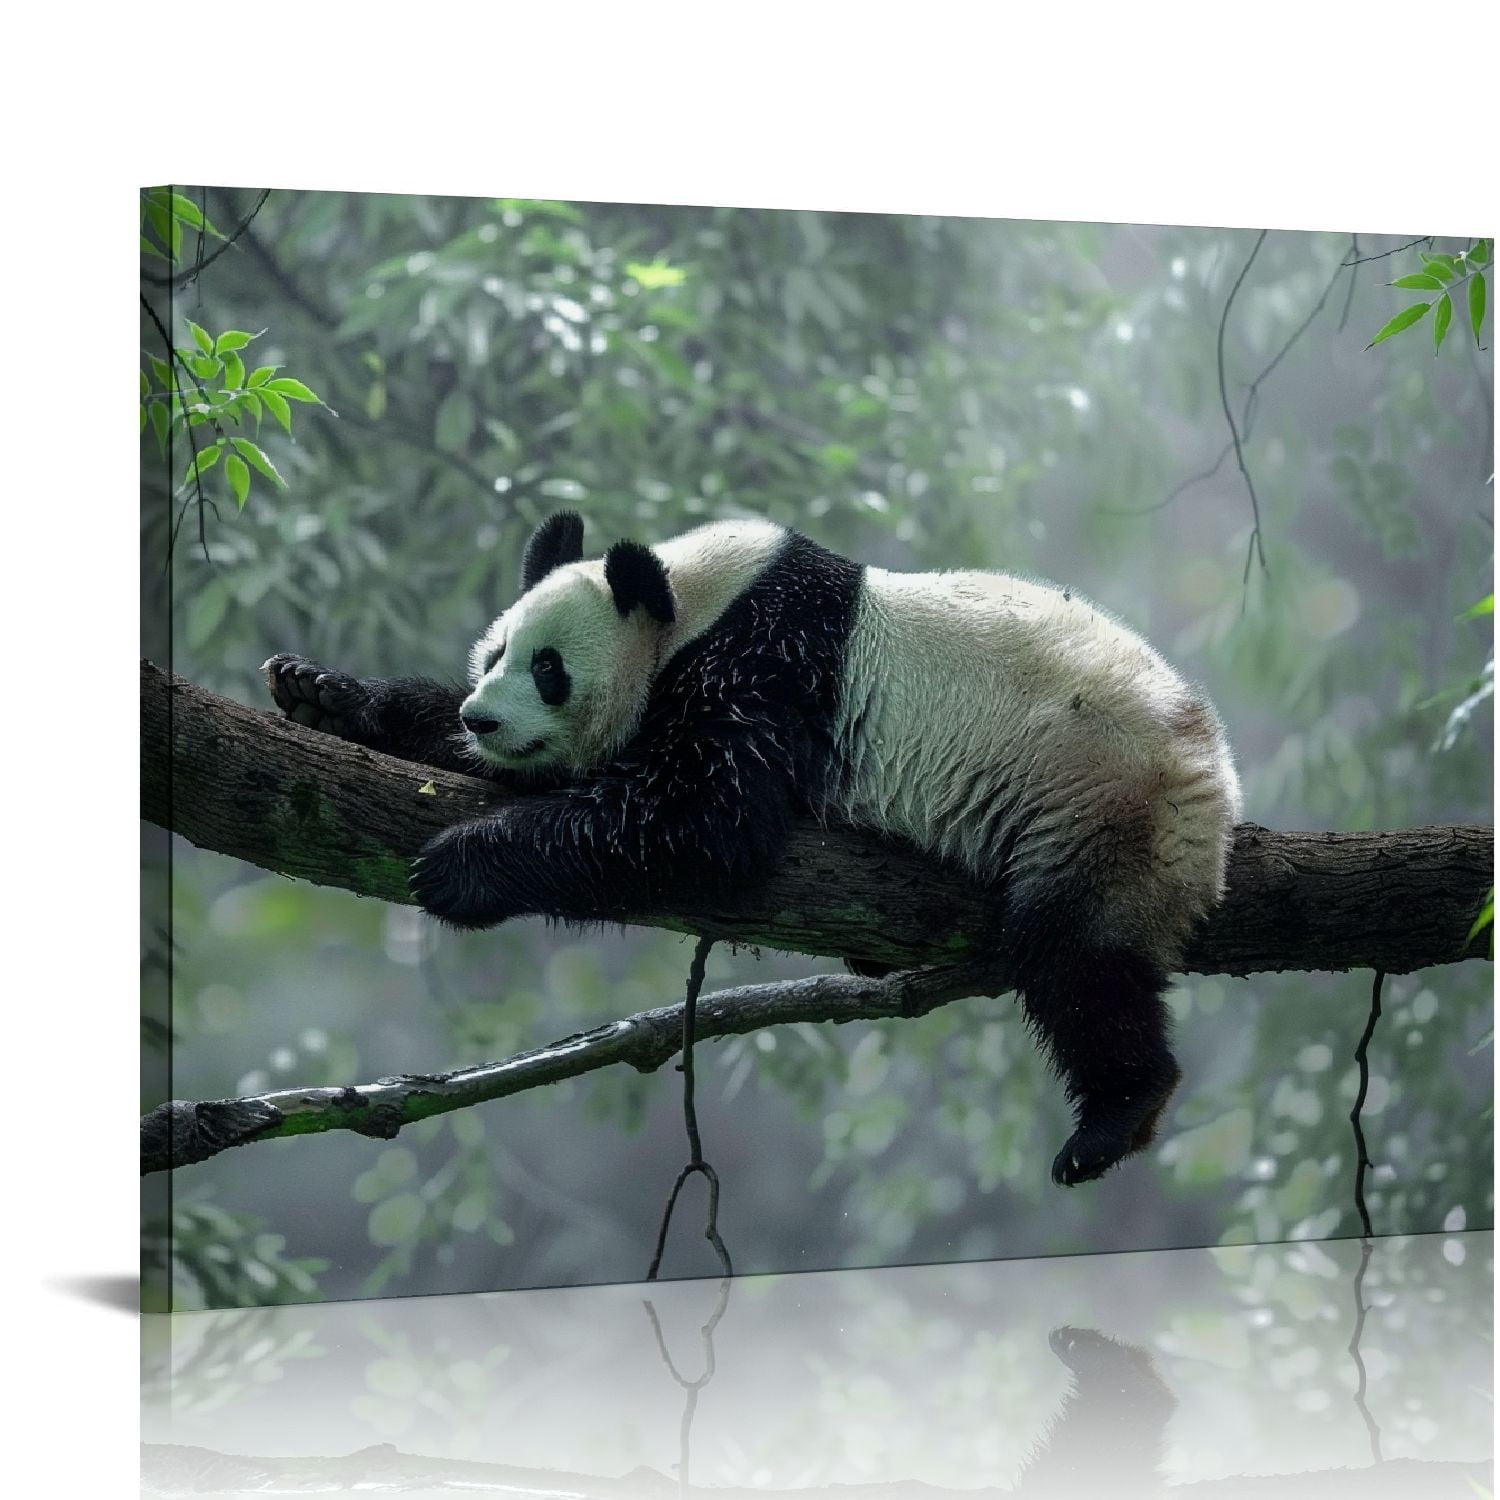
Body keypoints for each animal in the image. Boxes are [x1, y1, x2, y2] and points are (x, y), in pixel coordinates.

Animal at [265, 510, 1241, 1186]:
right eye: (496, 650)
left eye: (548, 668)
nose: (483, 719)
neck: (697, 600)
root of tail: (1214, 776)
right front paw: (325, 695)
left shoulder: (764, 667)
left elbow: (699, 819)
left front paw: (462, 866)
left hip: (1100, 803)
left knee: (1080, 963)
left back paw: (1114, 1117)